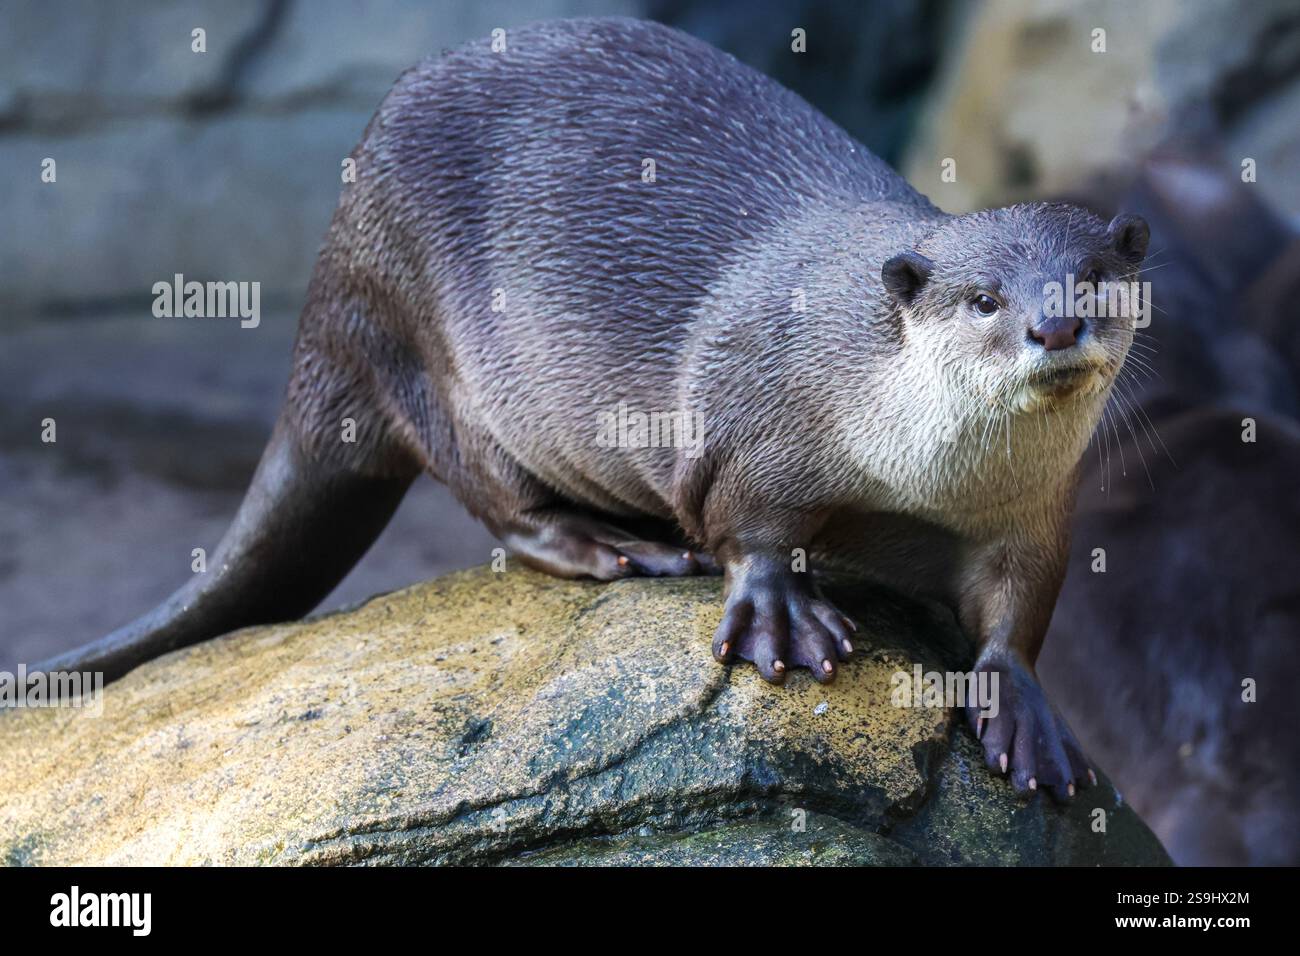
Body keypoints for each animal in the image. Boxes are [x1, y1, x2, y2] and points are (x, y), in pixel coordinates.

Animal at [38, 18, 1148, 801]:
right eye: (984, 298)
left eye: (1093, 277)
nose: (1053, 324)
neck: (919, 476)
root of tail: (334, 272)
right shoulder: (755, 424)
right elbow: (747, 527)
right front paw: (780, 616)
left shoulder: (1034, 513)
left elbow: (1020, 609)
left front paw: (1023, 710)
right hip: (429, 345)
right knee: (497, 502)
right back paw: (614, 546)